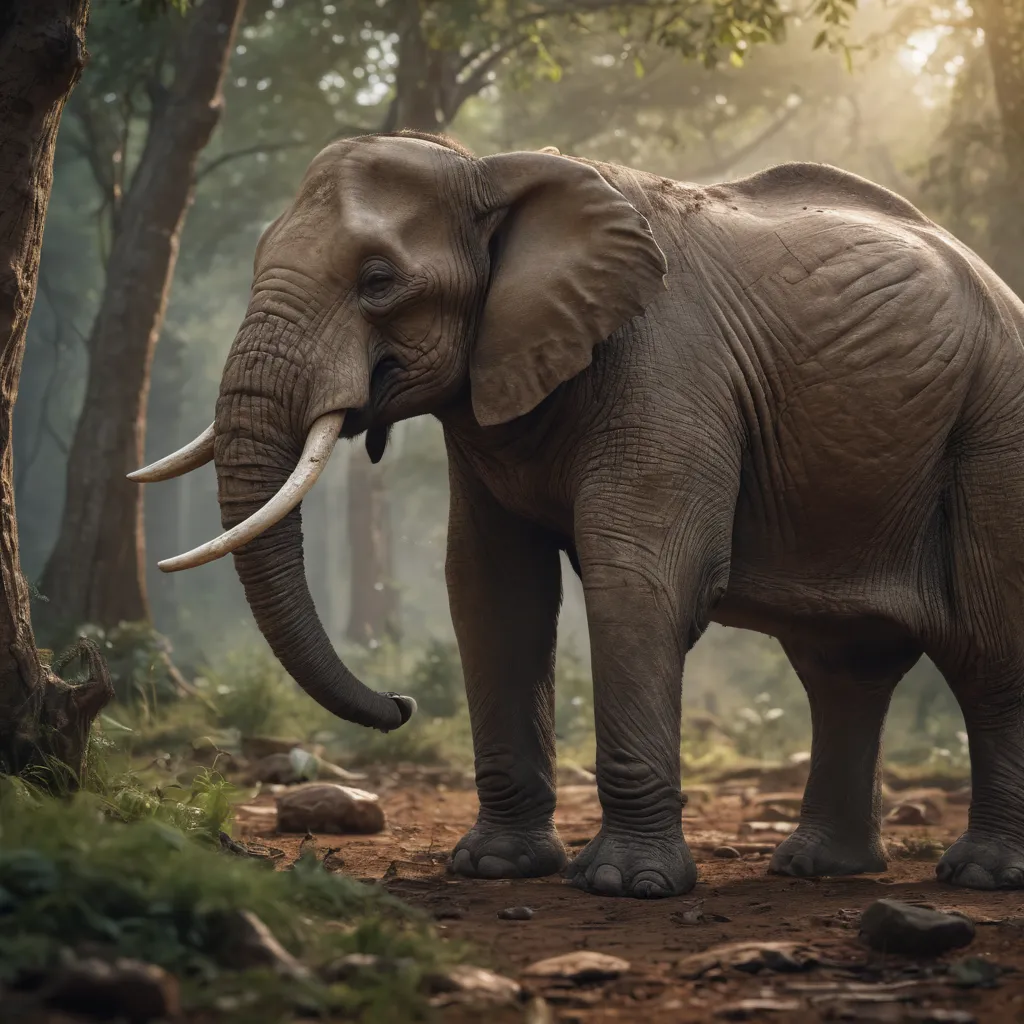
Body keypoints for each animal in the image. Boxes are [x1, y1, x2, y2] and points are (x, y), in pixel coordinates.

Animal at [132, 130, 1024, 899]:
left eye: (378, 280)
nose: (400, 704)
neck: (490, 169)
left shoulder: (667, 369)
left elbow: (640, 576)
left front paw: (626, 886)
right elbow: (493, 588)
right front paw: (494, 868)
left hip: (996, 427)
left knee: (986, 646)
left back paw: (980, 875)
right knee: (840, 666)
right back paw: (817, 868)